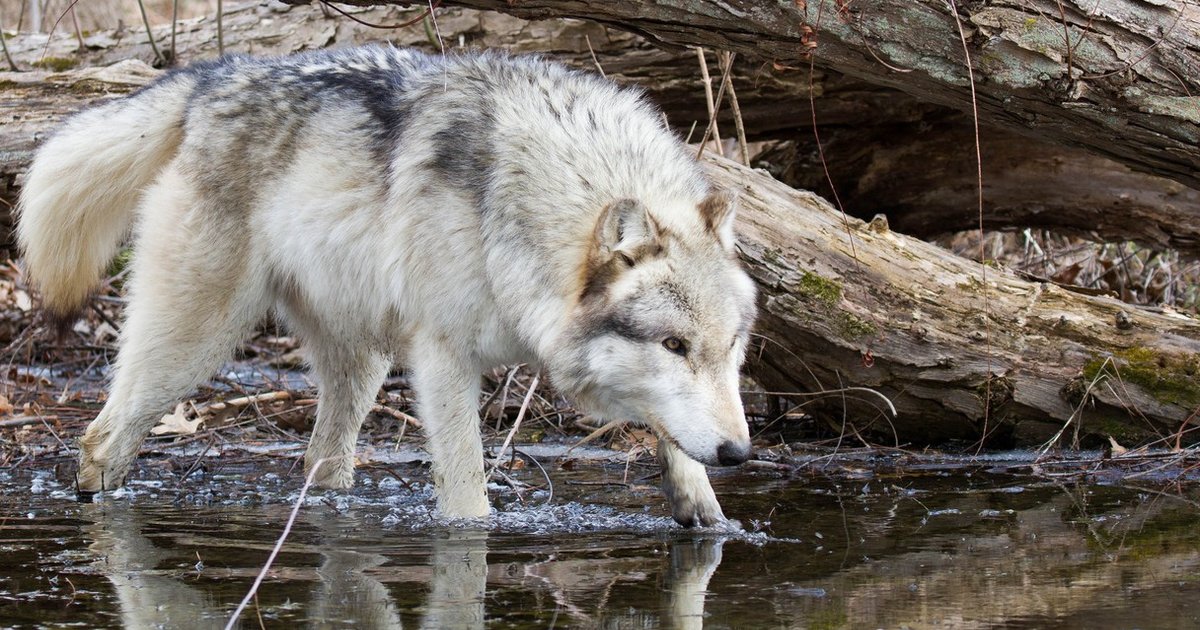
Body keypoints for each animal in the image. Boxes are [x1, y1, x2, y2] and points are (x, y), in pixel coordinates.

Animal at [18, 46, 758, 526]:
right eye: (673, 345)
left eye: (729, 348)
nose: (740, 454)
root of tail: (208, 80)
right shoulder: (443, 359)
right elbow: (467, 502)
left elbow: (676, 434)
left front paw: (706, 511)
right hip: (197, 343)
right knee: (101, 441)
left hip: (362, 365)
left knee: (322, 462)